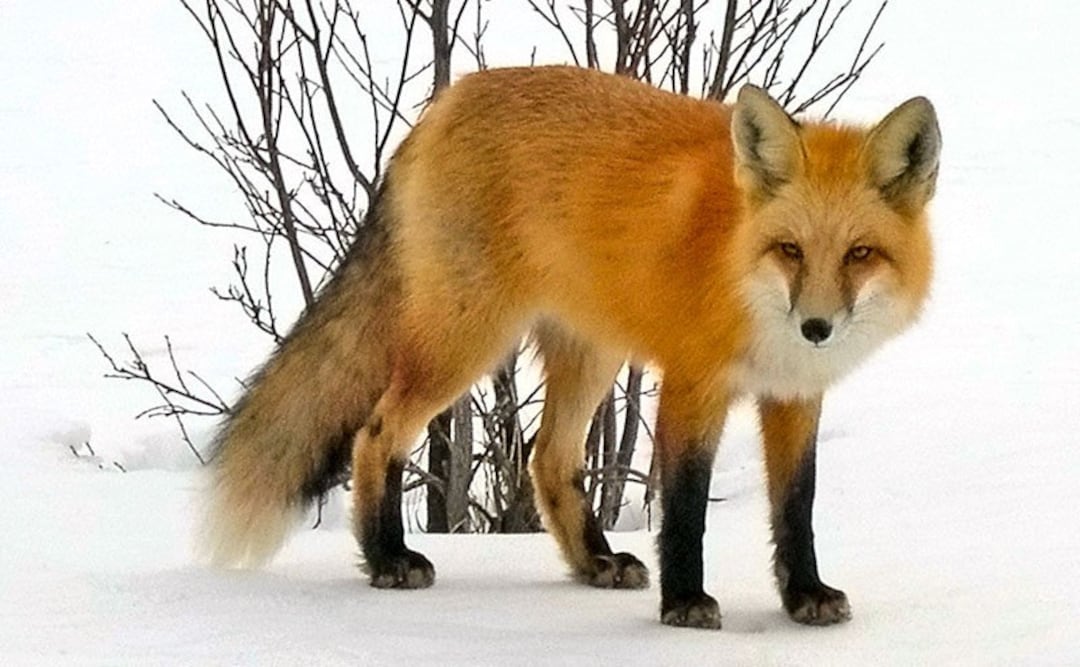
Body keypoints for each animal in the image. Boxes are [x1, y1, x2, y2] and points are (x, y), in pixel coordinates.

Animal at [199, 65, 939, 629]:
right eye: (790, 249)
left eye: (859, 254)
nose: (816, 328)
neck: (738, 265)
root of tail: (445, 102)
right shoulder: (692, 383)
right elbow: (686, 507)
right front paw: (685, 602)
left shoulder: (793, 395)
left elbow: (796, 507)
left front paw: (804, 595)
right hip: (467, 338)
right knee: (378, 432)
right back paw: (386, 559)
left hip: (591, 354)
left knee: (547, 458)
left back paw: (593, 562)